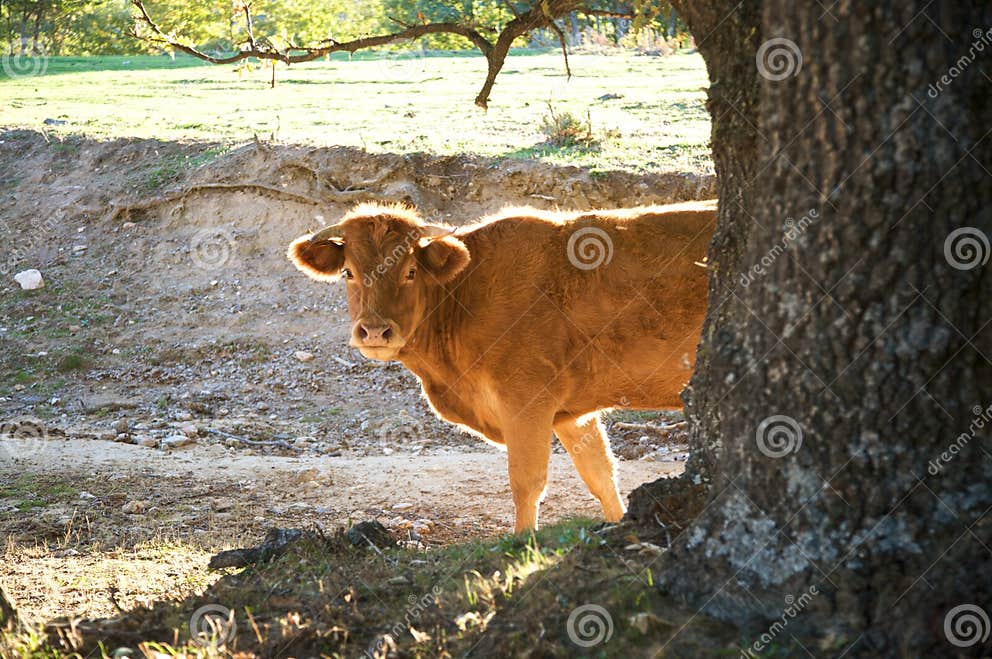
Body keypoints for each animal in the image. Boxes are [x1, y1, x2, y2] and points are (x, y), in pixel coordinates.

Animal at [288, 200, 716, 532]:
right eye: (349, 272)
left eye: (410, 272)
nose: (375, 331)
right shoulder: (572, 415)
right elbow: (600, 476)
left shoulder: (526, 403)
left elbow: (527, 482)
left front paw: (524, 543)